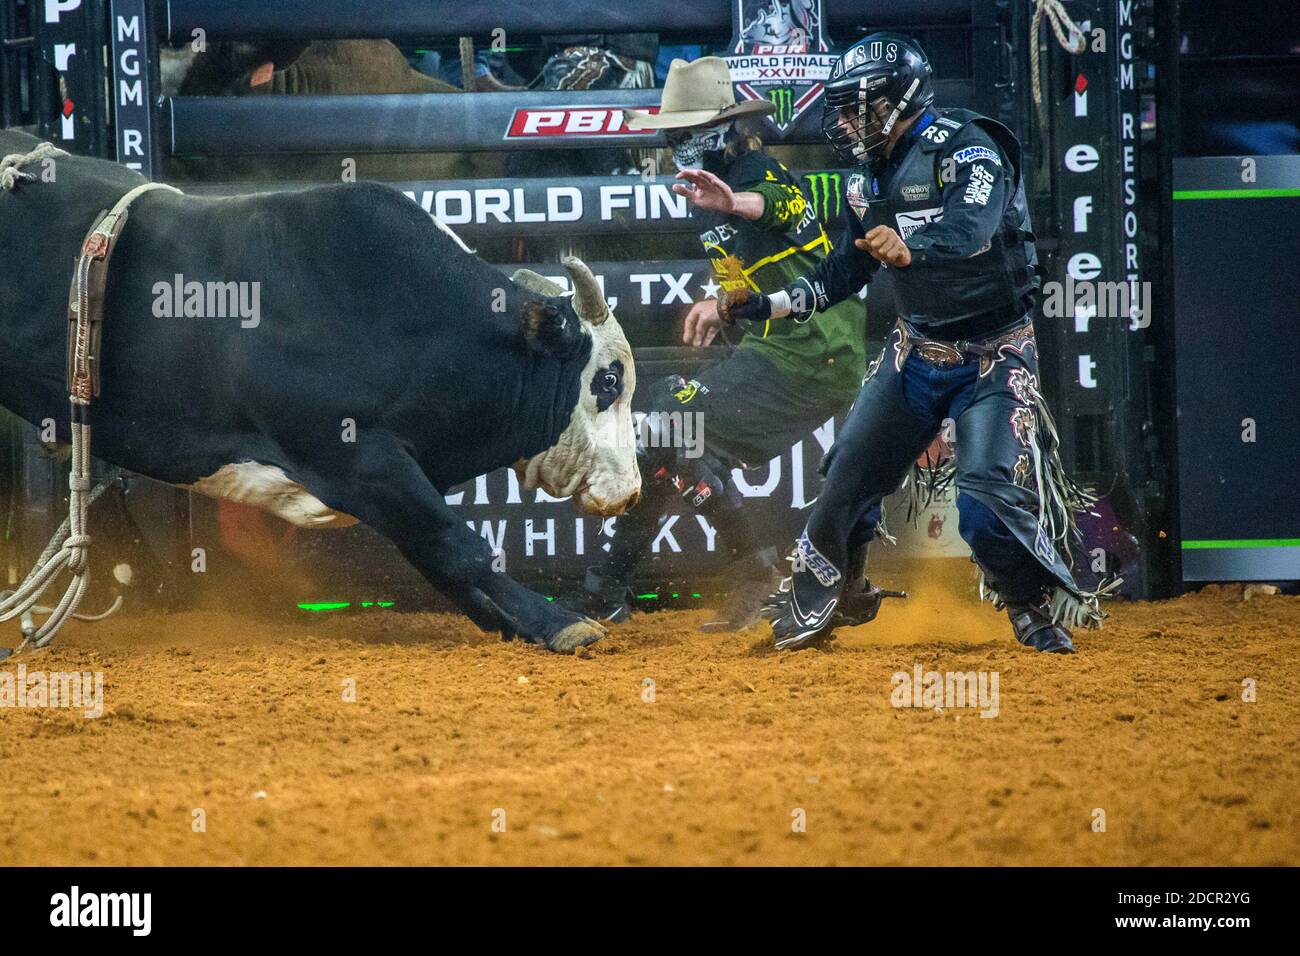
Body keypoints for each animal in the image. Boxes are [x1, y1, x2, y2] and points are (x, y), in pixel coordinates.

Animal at [0, 129, 640, 652]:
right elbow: (456, 545)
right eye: (608, 380)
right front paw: (560, 623)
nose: (631, 492)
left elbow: (436, 553)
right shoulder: (357, 459)